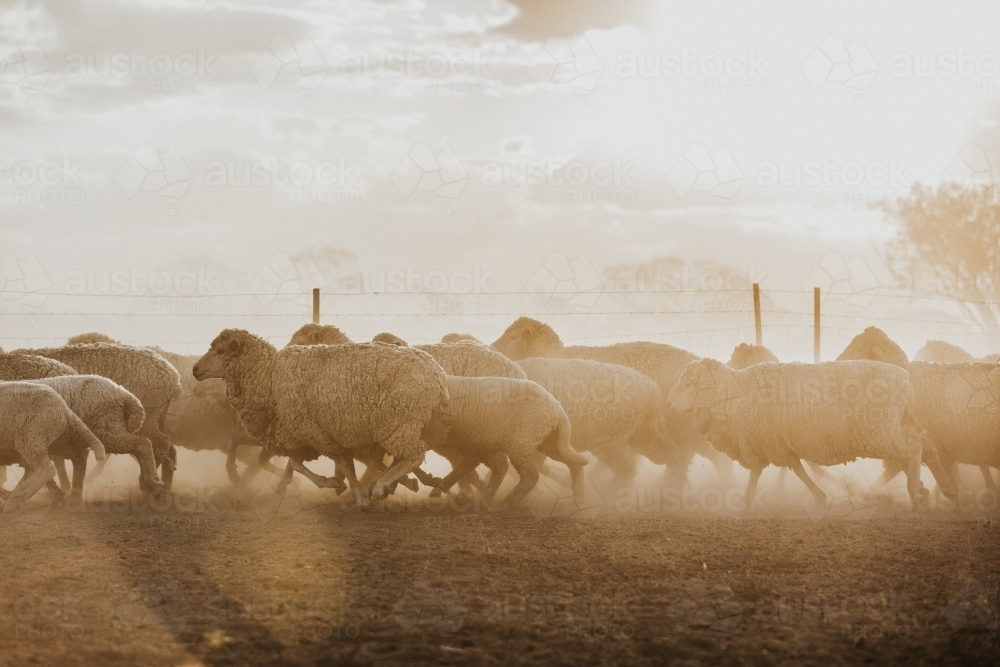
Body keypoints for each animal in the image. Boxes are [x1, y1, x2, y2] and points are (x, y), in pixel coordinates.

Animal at [192, 329, 450, 507]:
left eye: (220, 351)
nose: (195, 369)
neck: (269, 377)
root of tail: (437, 372)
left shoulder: (317, 432)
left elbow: (338, 465)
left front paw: (356, 494)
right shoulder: (314, 433)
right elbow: (302, 464)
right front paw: (337, 485)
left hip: (400, 423)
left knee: (414, 456)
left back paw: (383, 486)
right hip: (402, 426)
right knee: (403, 459)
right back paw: (398, 483)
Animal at [431, 375, 589, 510]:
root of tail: (558, 410)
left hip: (521, 440)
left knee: (530, 476)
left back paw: (501, 506)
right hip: (549, 440)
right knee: (574, 464)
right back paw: (580, 499)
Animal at [668, 358, 931, 509]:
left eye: (689, 385)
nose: (670, 405)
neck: (733, 396)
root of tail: (905, 379)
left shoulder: (773, 444)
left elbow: (796, 471)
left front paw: (819, 497)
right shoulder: (769, 442)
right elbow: (761, 474)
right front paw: (747, 503)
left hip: (881, 432)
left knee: (913, 449)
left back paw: (914, 494)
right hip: (894, 427)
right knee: (911, 449)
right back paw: (913, 489)